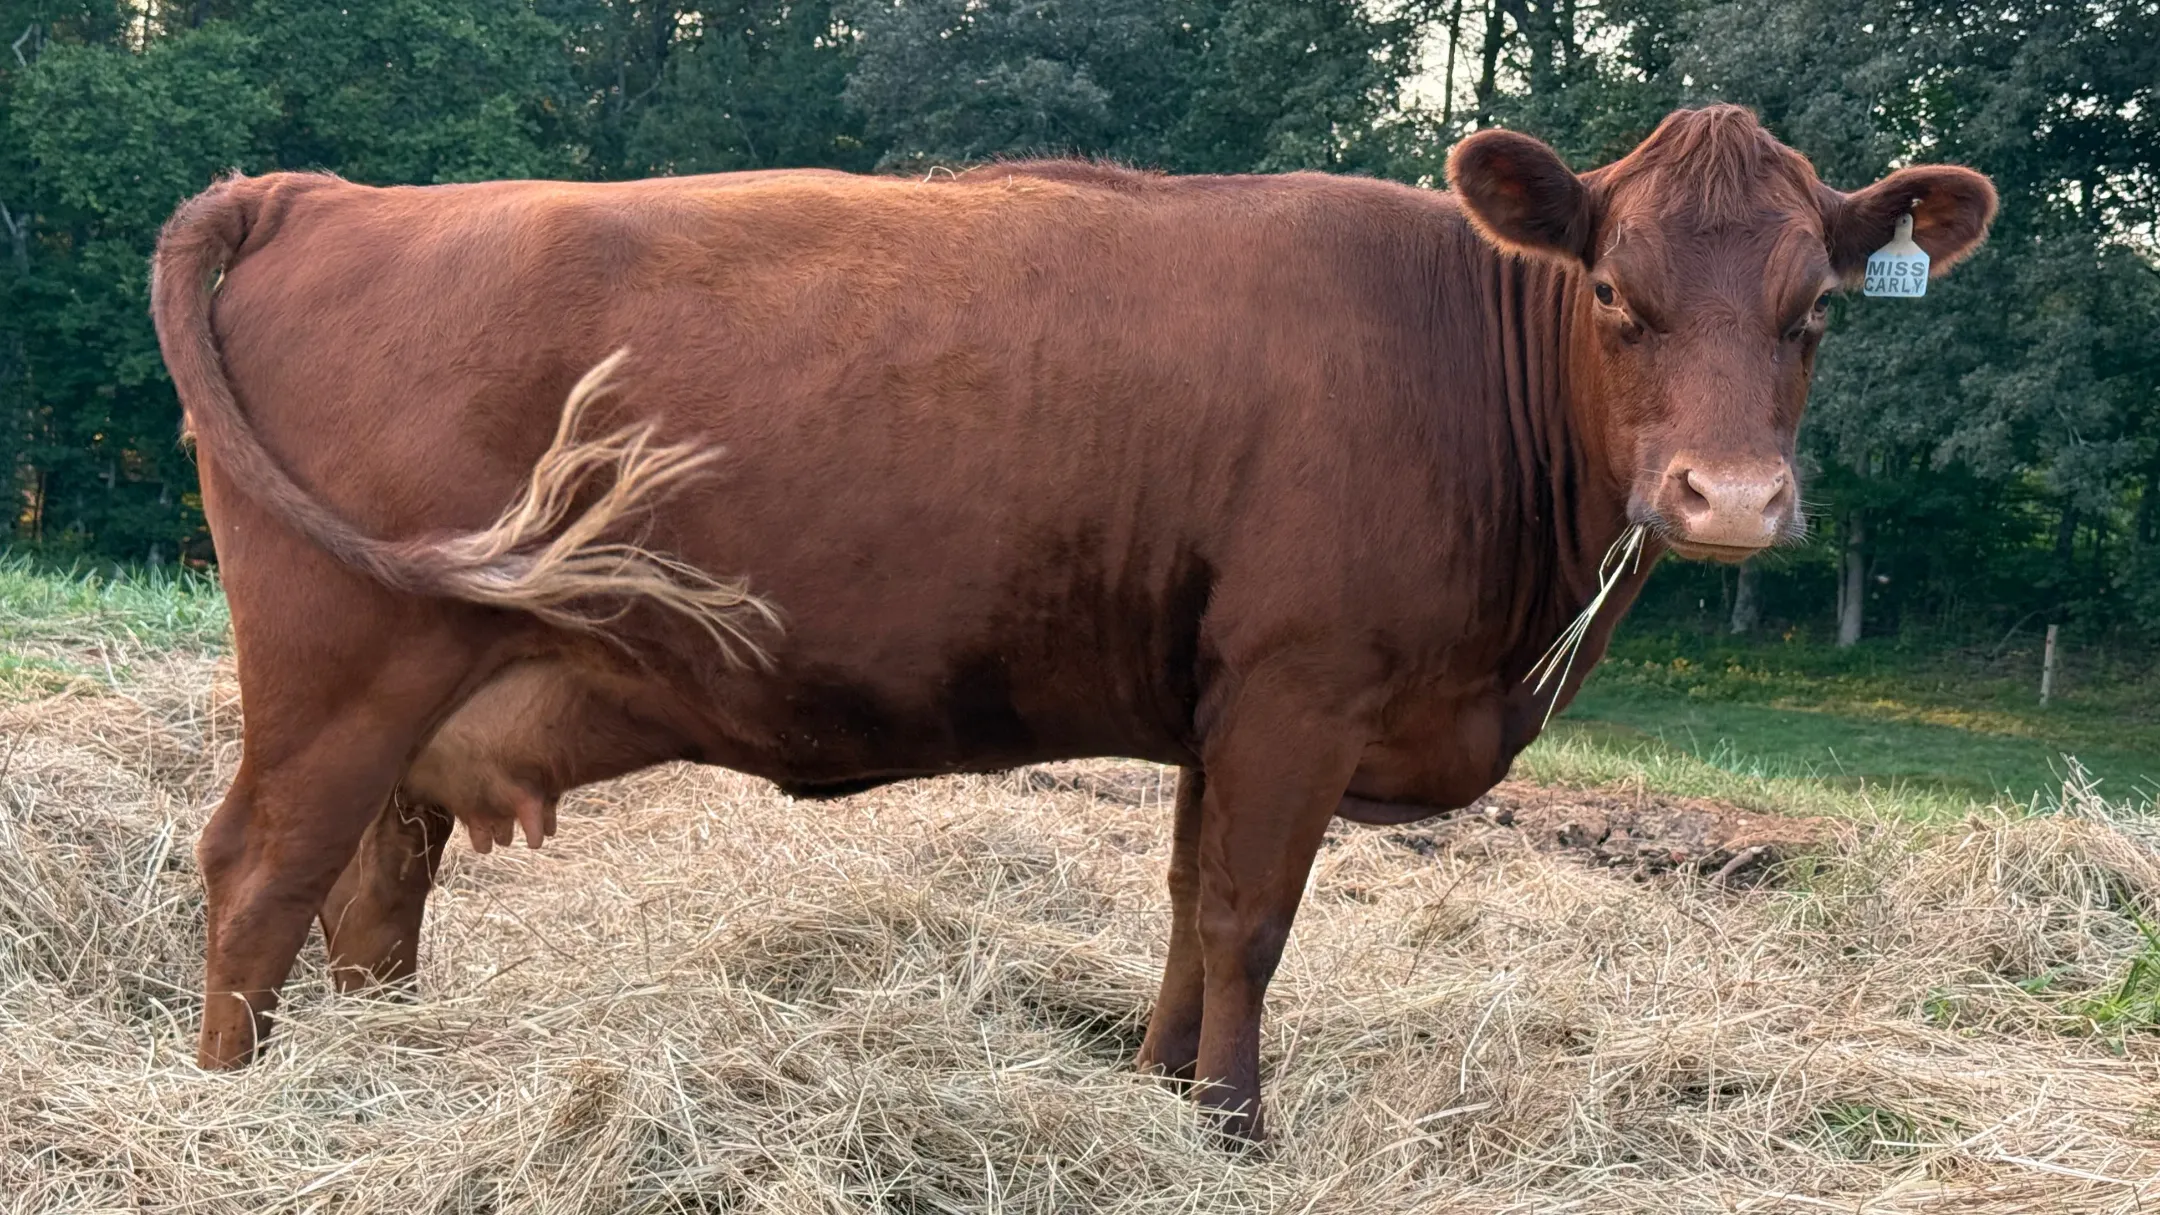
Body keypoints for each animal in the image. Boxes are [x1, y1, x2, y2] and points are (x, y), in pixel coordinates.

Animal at [150, 104, 1994, 1141]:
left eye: (1815, 312)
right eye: (1616, 295)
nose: (1729, 501)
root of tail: (325, 192)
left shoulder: (1220, 705)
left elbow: (1185, 905)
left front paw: (1165, 1088)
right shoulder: (1298, 690)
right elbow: (1251, 916)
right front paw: (1236, 1128)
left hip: (430, 684)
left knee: (374, 894)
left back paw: (382, 1067)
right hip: (341, 661)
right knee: (260, 871)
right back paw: (229, 1106)